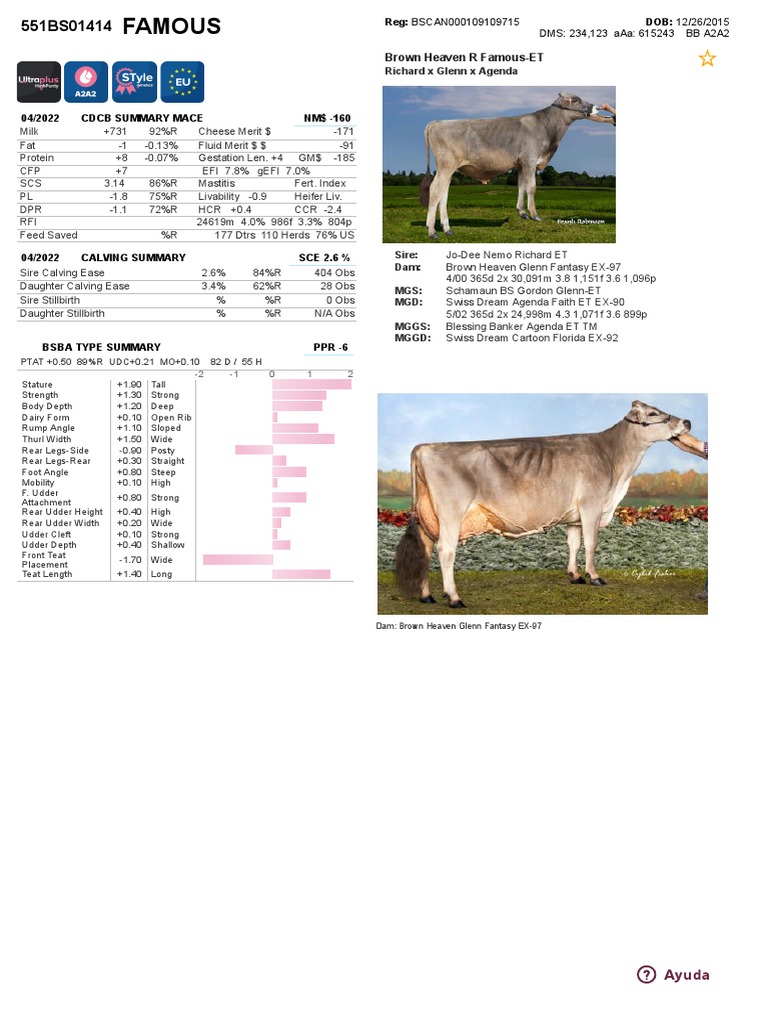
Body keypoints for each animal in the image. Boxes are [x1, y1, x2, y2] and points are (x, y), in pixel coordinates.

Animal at [394, 400, 692, 608]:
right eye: (653, 414)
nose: (687, 421)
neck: (614, 461)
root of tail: (424, 447)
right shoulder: (592, 505)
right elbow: (591, 543)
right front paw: (594, 576)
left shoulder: (574, 515)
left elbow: (574, 543)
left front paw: (575, 575)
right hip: (451, 512)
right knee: (445, 551)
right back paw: (454, 598)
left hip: (428, 515)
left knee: (426, 549)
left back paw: (427, 595)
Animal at [419, 92, 615, 239]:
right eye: (576, 100)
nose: (597, 107)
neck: (547, 130)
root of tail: (437, 122)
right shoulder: (529, 160)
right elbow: (532, 187)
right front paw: (535, 215)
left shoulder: (520, 164)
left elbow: (521, 187)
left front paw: (522, 213)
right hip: (446, 165)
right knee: (435, 190)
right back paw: (432, 231)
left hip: (449, 169)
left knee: (443, 193)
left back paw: (446, 229)